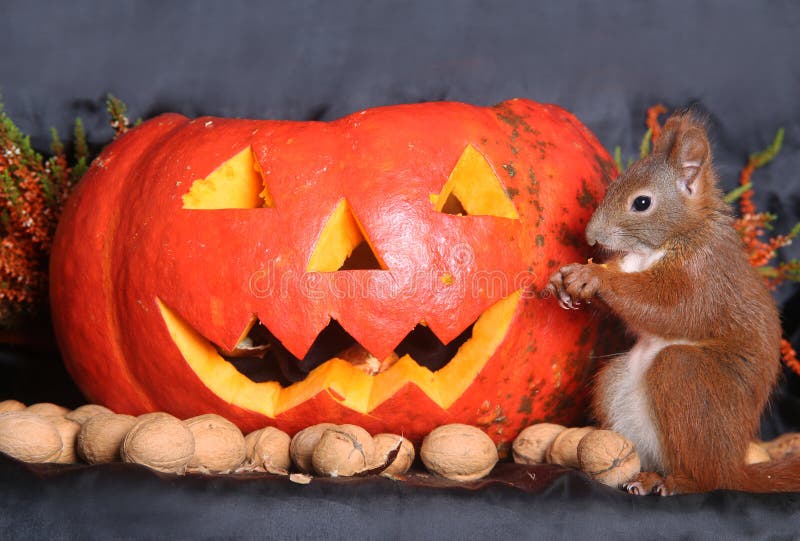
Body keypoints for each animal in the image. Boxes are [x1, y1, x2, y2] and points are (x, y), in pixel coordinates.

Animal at [546, 112, 800, 495]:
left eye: (642, 203)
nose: (590, 236)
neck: (664, 243)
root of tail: (733, 468)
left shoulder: (704, 277)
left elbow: (669, 310)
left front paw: (595, 278)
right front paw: (566, 279)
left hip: (686, 377)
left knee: (707, 476)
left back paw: (680, 482)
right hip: (615, 383)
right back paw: (647, 477)